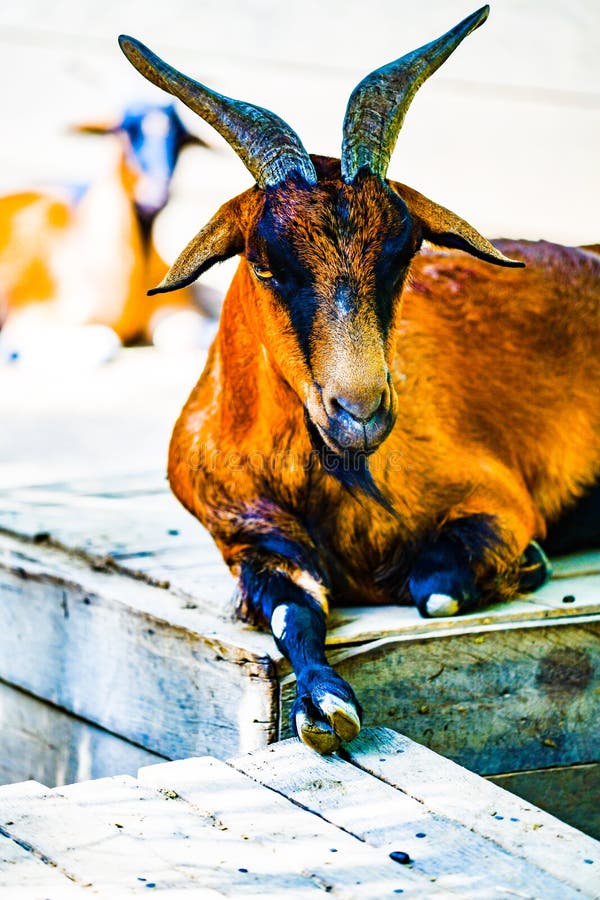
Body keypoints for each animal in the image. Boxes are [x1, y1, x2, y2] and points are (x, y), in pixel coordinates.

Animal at [120, 6, 600, 753]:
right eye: (264, 260)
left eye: (405, 254)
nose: (361, 412)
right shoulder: (248, 542)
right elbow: (294, 613)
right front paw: (324, 704)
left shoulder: (499, 501)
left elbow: (433, 587)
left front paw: (528, 564)